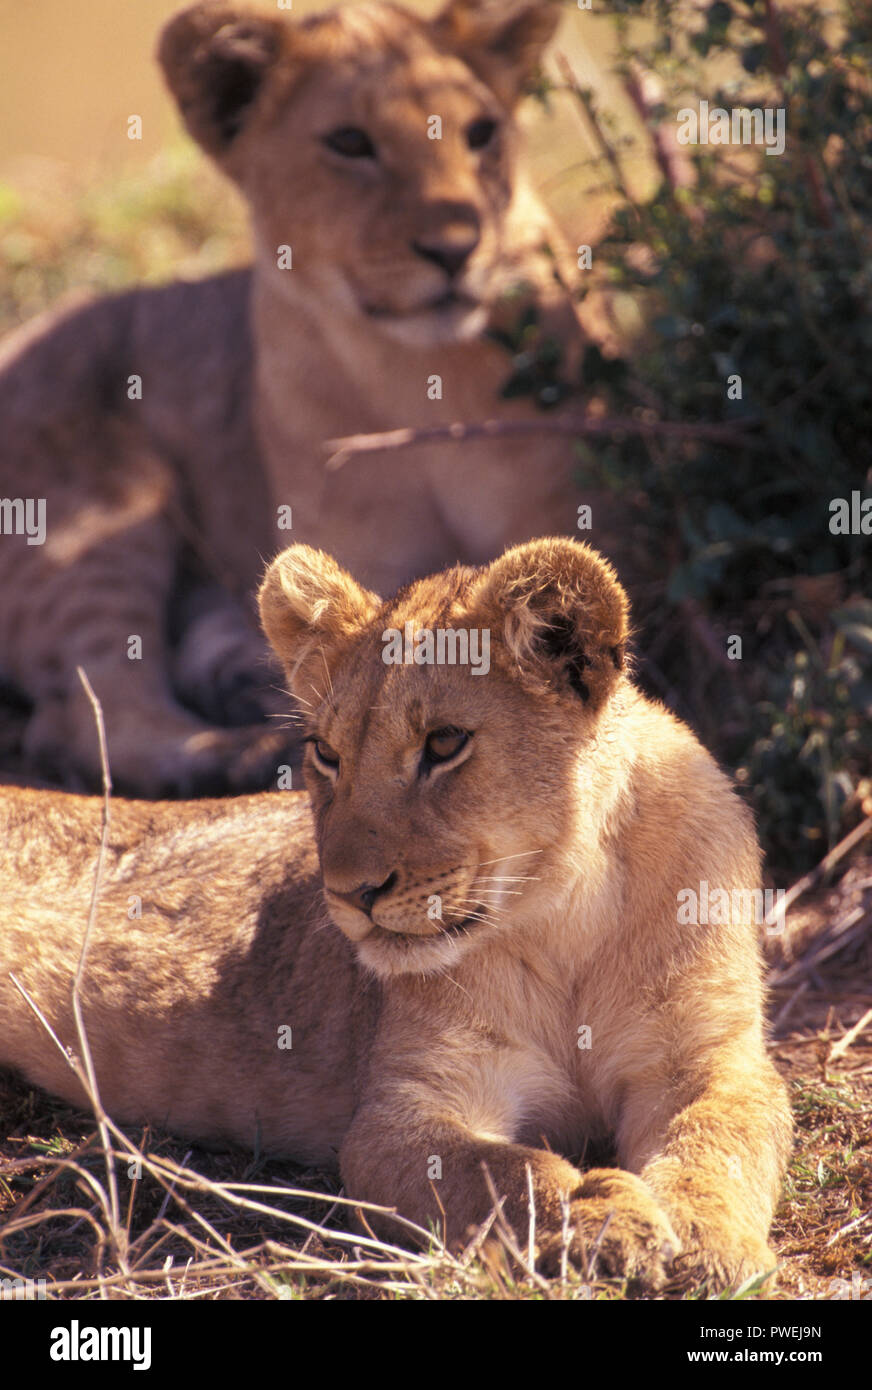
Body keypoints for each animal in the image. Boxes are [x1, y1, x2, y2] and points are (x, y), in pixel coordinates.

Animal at [0, 0, 608, 798]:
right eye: (350, 143)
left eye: (482, 134)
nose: (456, 246)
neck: (416, 382)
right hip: (94, 518)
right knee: (89, 715)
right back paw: (241, 753)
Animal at [0, 537, 793, 1289]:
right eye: (325, 753)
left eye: (444, 743)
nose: (352, 892)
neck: (562, 917)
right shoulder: (405, 1110)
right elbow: (517, 1175)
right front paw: (609, 1221)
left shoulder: (707, 1060)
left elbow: (716, 1146)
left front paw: (705, 1245)